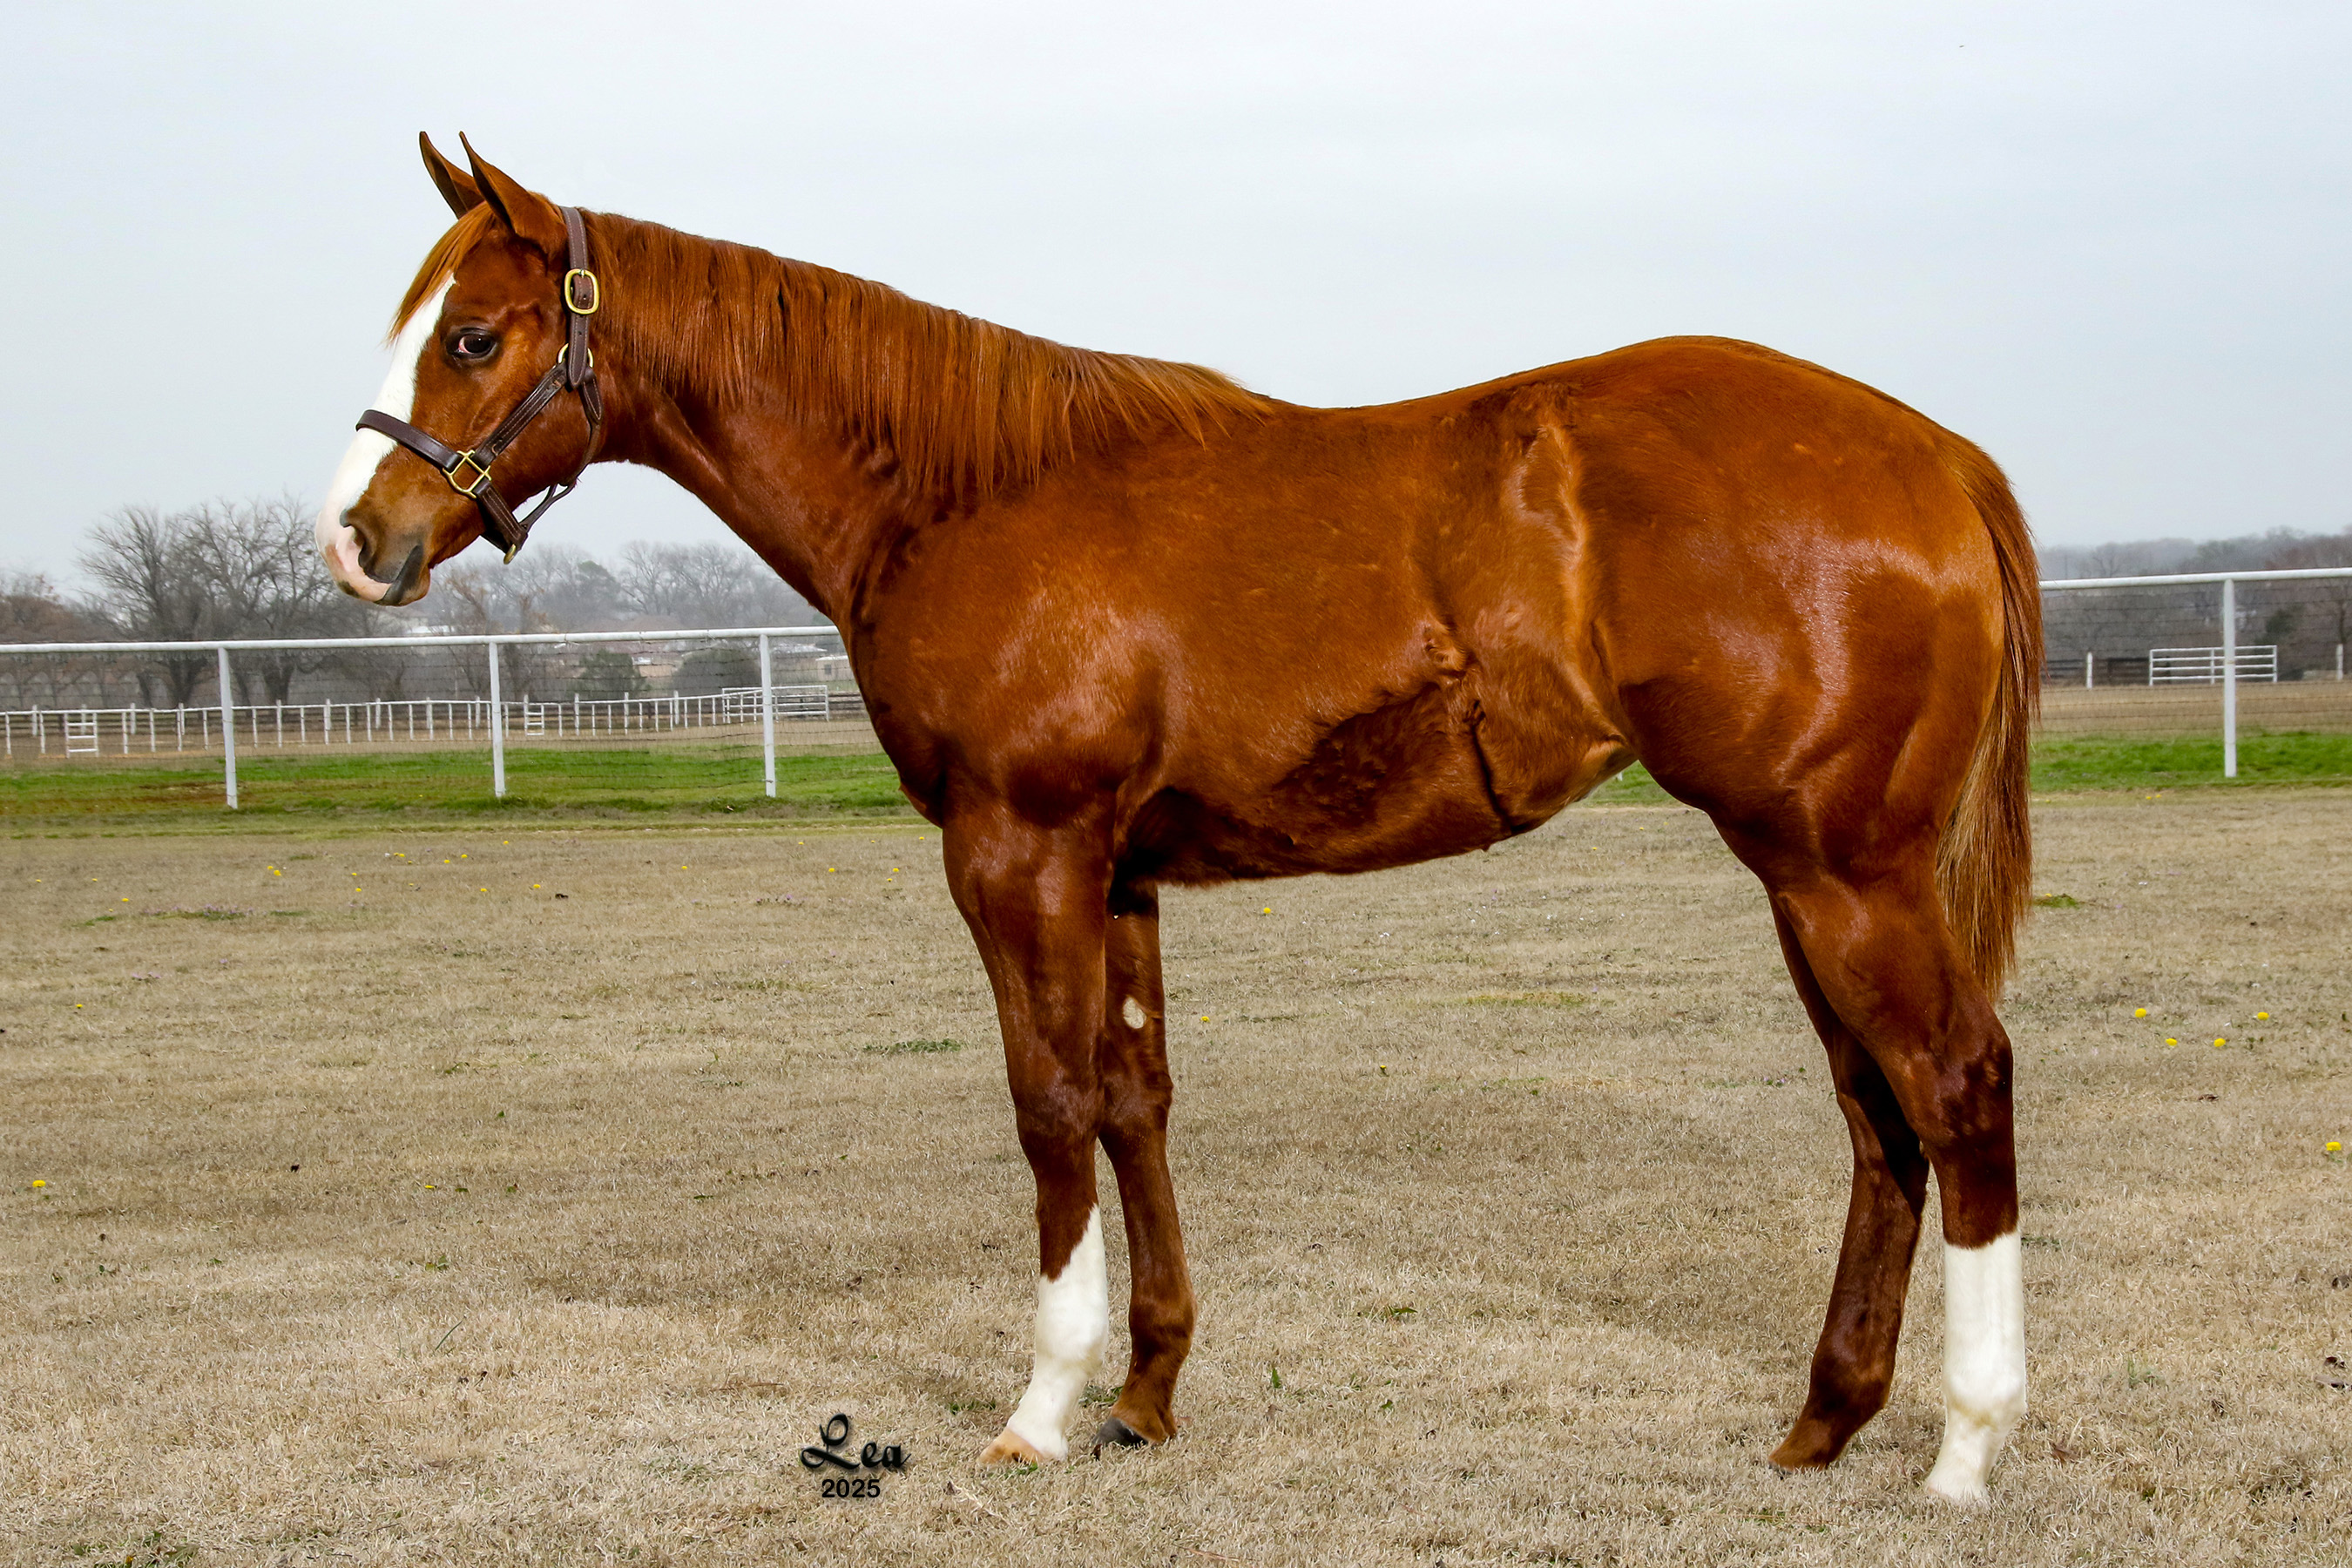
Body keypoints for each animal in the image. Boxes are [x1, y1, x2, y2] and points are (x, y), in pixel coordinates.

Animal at [319, 135, 2041, 1502]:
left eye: (471, 335)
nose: (355, 541)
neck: (963, 492)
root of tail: (1934, 453)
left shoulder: (1018, 853)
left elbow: (1049, 1110)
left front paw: (1042, 1406)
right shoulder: (1123, 874)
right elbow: (1135, 1102)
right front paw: (1146, 1394)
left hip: (1844, 870)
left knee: (1957, 1088)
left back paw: (1965, 1446)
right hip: (1807, 877)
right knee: (1880, 1120)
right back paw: (1824, 1424)